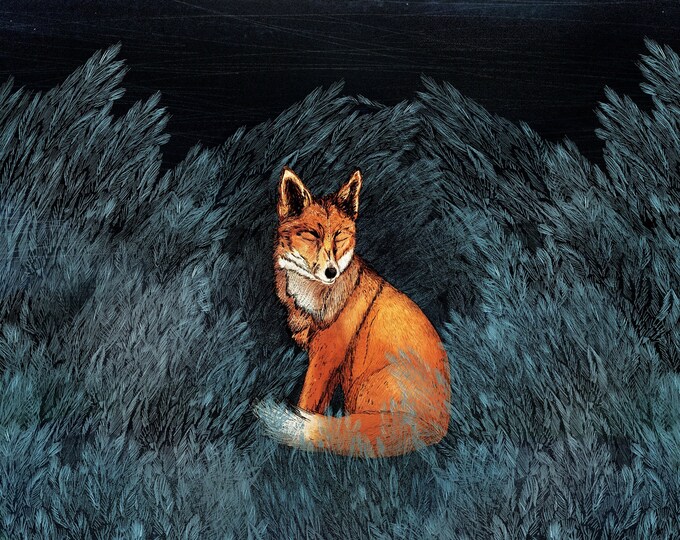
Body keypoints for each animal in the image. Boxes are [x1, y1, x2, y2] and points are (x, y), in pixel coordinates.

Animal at [254, 166, 451, 457]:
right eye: (312, 235)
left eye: (339, 235)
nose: (331, 272)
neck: (313, 298)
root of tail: (440, 426)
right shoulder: (331, 364)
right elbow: (317, 406)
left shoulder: (327, 354)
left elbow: (306, 403)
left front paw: (299, 437)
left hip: (365, 387)